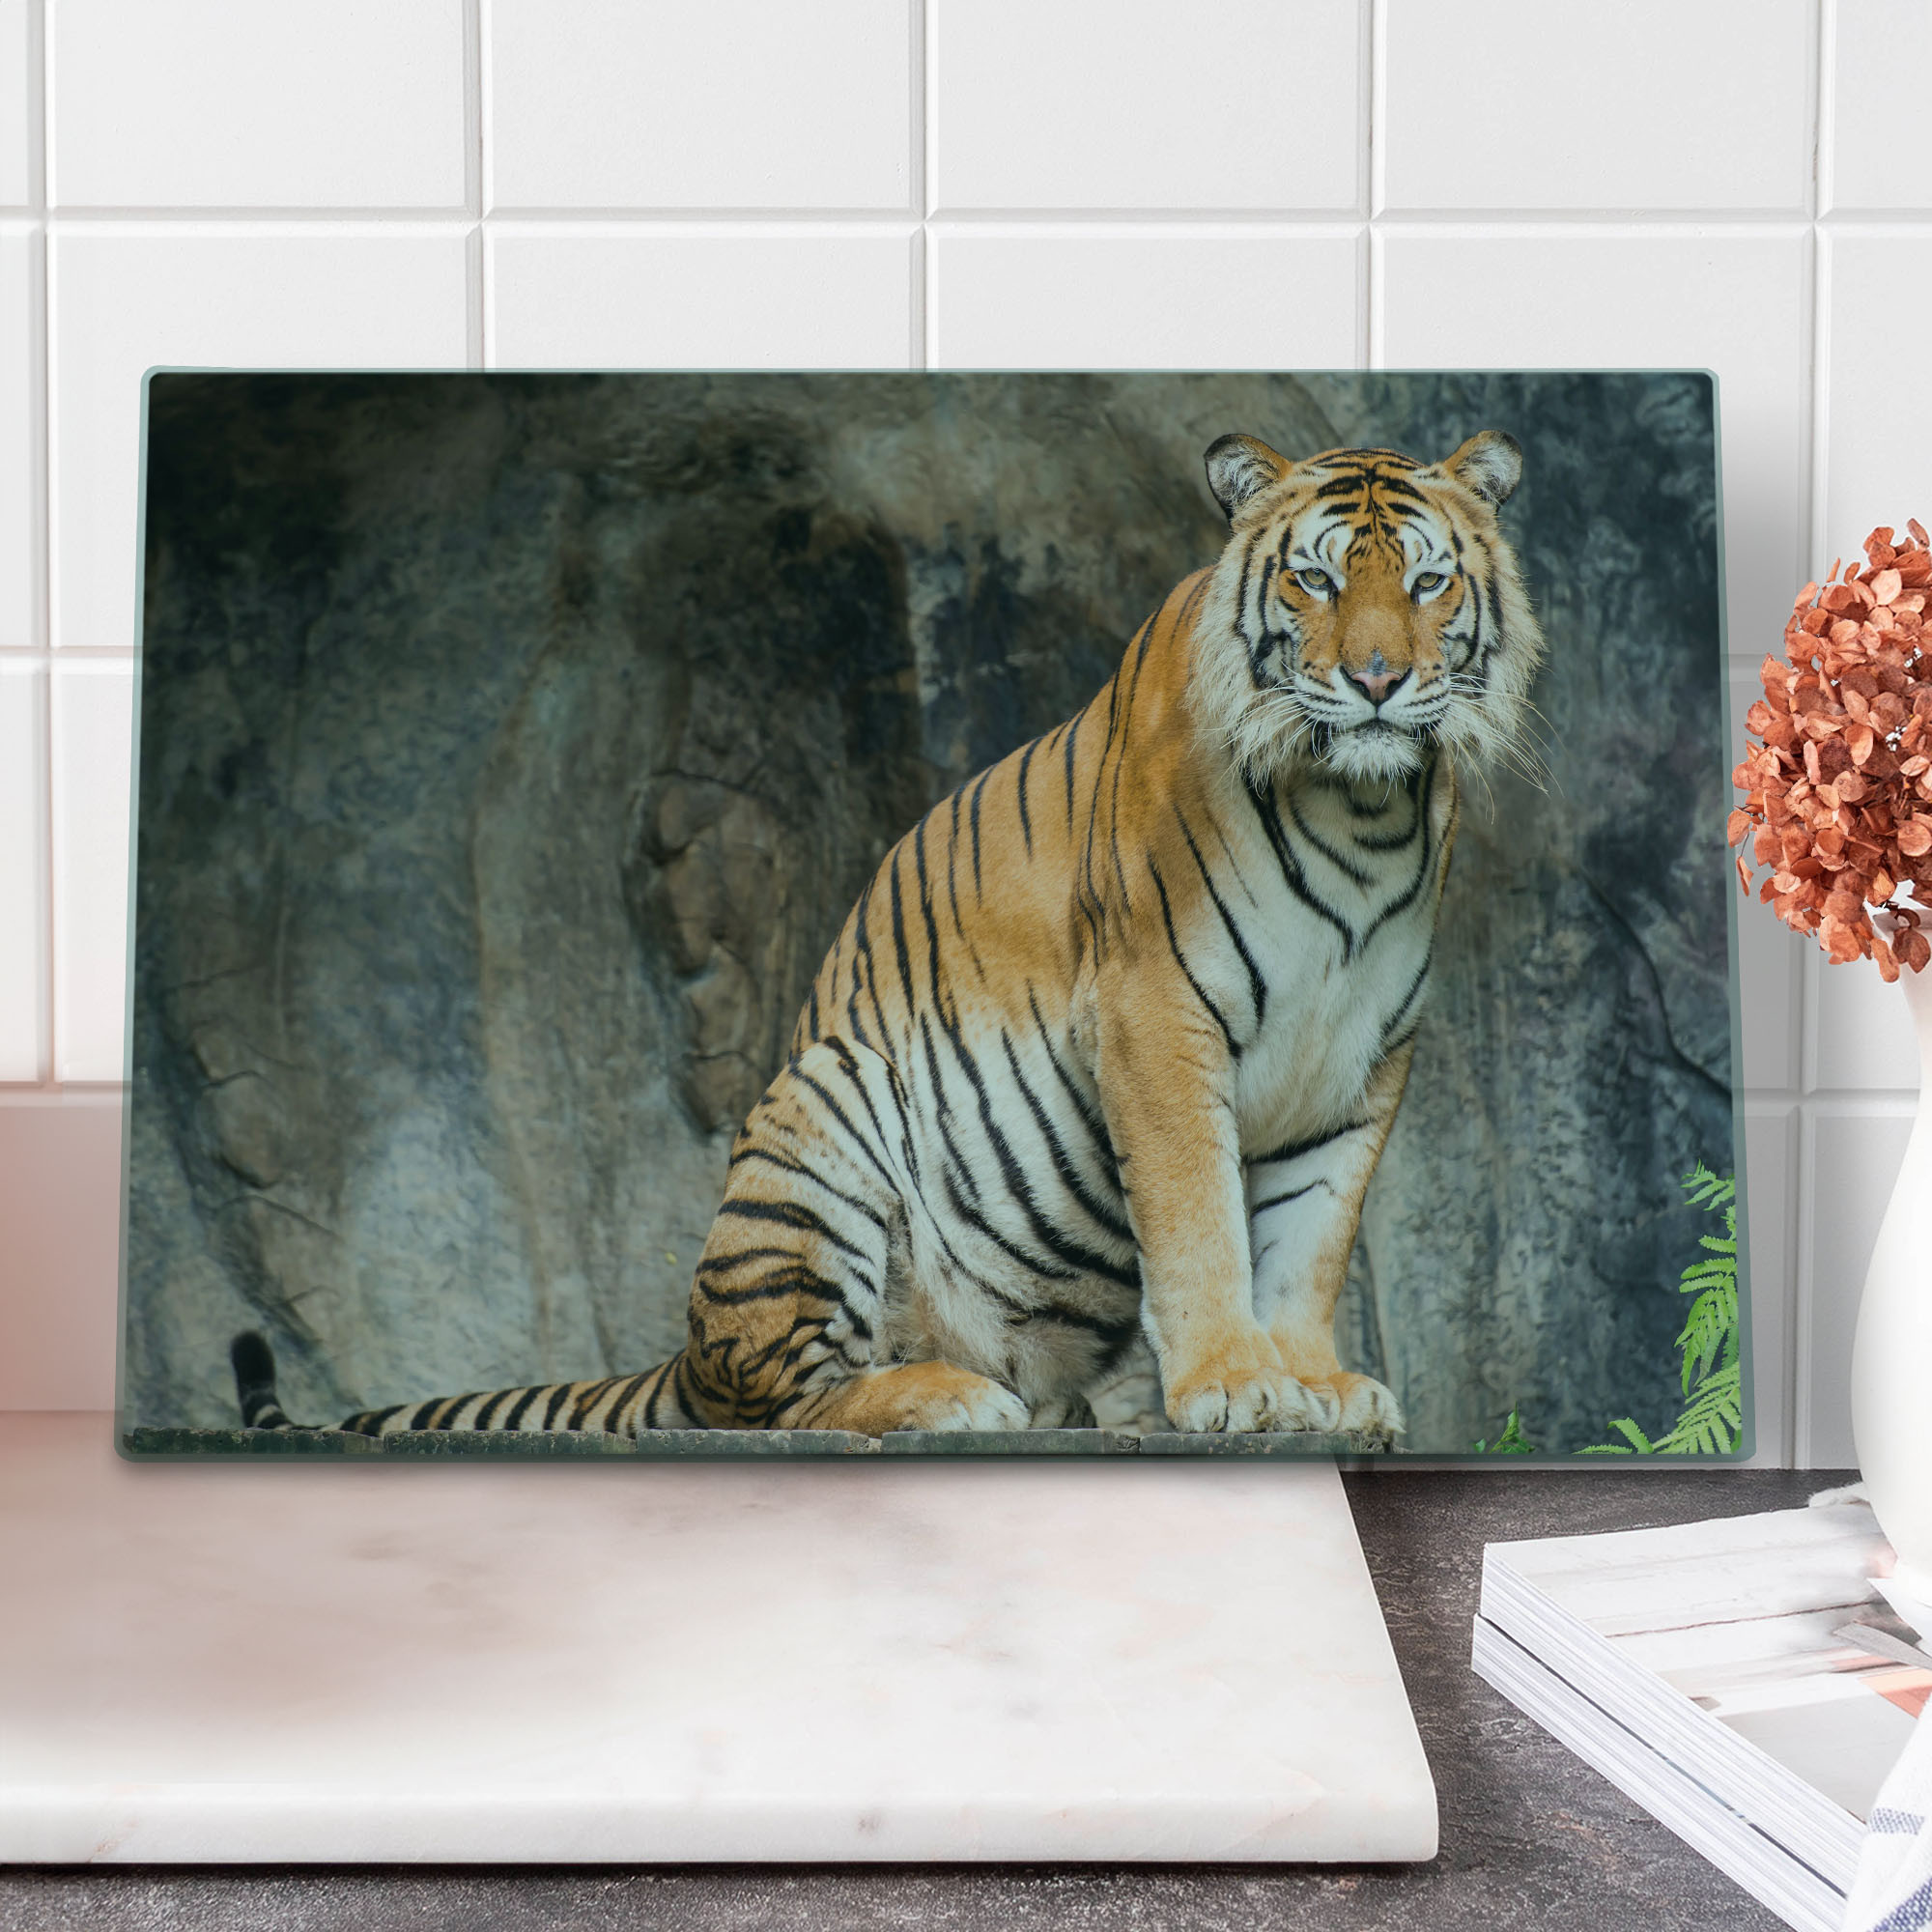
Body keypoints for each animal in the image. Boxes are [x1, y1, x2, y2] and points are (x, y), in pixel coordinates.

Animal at [231, 428, 1543, 1444]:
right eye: (1313, 583)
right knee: (787, 1396)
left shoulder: (1363, 1057)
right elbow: (1201, 1217)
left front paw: (1316, 1382)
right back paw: (947, 1395)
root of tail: (683, 1346)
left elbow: (1310, 1238)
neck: (1360, 809)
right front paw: (1237, 1384)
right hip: (828, 1106)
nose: (1374, 681)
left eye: (1425, 584)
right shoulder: (1154, 1012)